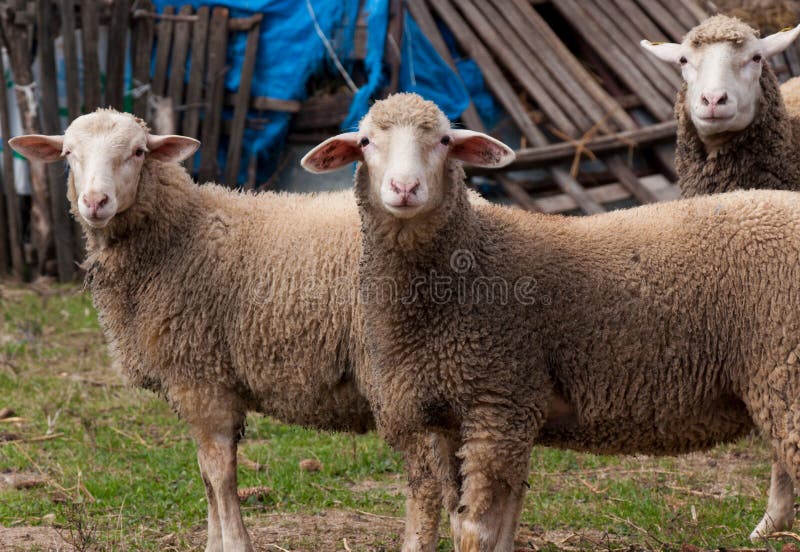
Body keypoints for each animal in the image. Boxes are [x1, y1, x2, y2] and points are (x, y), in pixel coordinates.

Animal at [8, 109, 453, 552]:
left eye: (138, 152)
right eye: (69, 153)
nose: (95, 202)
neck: (180, 235)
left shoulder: (202, 379)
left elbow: (220, 474)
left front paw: (235, 543)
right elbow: (206, 475)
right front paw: (212, 543)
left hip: (401, 374)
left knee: (427, 477)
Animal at [303, 92, 800, 551]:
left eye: (444, 140)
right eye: (366, 142)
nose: (404, 188)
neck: (470, 261)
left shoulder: (497, 402)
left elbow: (477, 528)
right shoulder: (452, 416)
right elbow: (485, 518)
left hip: (783, 364)